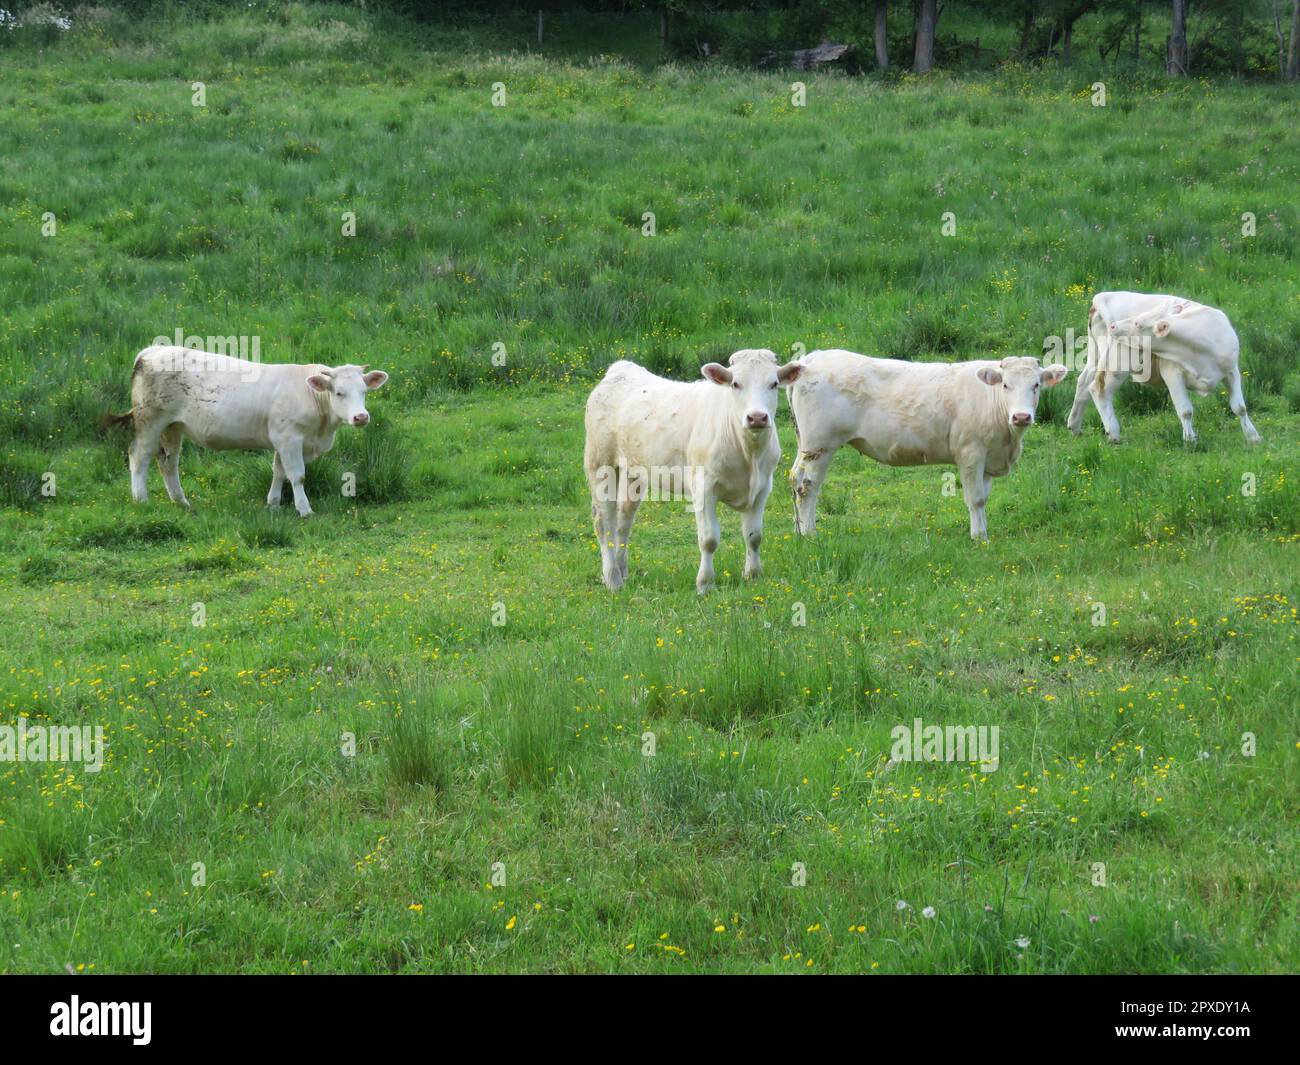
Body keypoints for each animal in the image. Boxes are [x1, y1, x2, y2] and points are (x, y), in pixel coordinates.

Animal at [105, 346, 388, 516]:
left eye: (364, 391)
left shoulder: (282, 440)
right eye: (339, 392)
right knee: (139, 457)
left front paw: (273, 504)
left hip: (172, 427)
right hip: (150, 422)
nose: (361, 417)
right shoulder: (289, 438)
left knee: (168, 463)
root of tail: (153, 350)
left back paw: (182, 503)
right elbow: (297, 476)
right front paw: (304, 509)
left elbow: (279, 472)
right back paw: (141, 500)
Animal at [583, 349, 804, 592]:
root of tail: (620, 368)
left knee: (624, 519)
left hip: (634, 471)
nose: (757, 417)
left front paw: (753, 576)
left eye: (774, 384)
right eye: (736, 384)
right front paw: (705, 583)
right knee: (604, 521)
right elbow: (708, 539)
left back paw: (622, 571)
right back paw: (612, 578)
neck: (749, 454)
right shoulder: (703, 488)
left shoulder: (762, 488)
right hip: (599, 463)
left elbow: (754, 536)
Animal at [787, 351, 1069, 541]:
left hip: (805, 445)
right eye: (1006, 385)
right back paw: (810, 533)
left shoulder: (990, 458)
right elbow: (976, 499)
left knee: (795, 478)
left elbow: (984, 498)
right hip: (821, 445)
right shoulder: (970, 453)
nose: (1021, 416)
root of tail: (812, 359)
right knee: (807, 487)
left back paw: (798, 530)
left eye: (1036, 385)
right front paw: (979, 537)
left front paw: (983, 531)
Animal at [1066, 291, 1260, 445]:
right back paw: (1113, 433)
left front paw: (1253, 437)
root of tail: (1104, 296)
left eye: (1138, 323)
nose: (1114, 326)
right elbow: (1185, 410)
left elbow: (1240, 407)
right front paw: (1190, 440)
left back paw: (1074, 426)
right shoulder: (1172, 373)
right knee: (1098, 389)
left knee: (1083, 383)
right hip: (1118, 363)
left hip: (1096, 356)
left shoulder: (1232, 370)